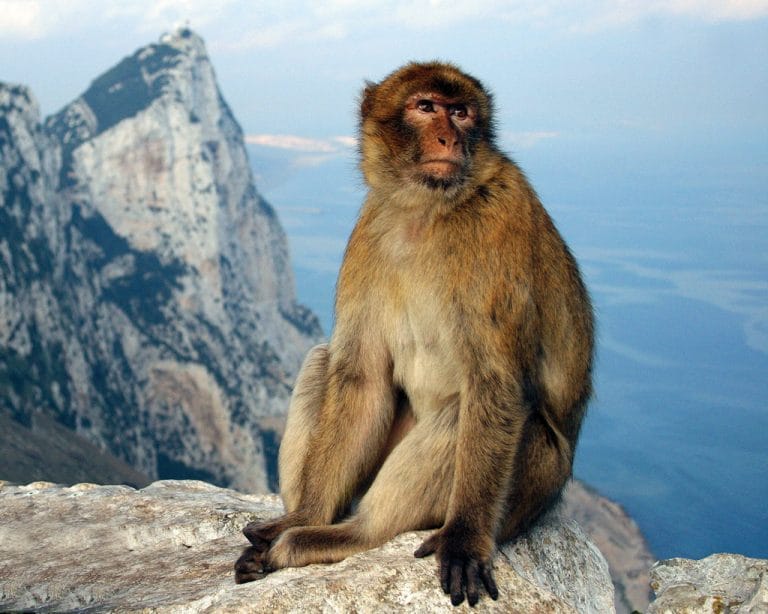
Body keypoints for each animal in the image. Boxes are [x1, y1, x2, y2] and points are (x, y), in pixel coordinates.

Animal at [235, 61, 594, 607]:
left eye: (462, 112)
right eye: (425, 107)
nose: (450, 137)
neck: (427, 210)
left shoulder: (499, 221)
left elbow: (494, 385)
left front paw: (464, 538)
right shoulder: (371, 227)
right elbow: (361, 377)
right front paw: (307, 513)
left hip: (532, 485)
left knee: (473, 412)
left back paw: (348, 535)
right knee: (324, 359)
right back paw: (299, 524)